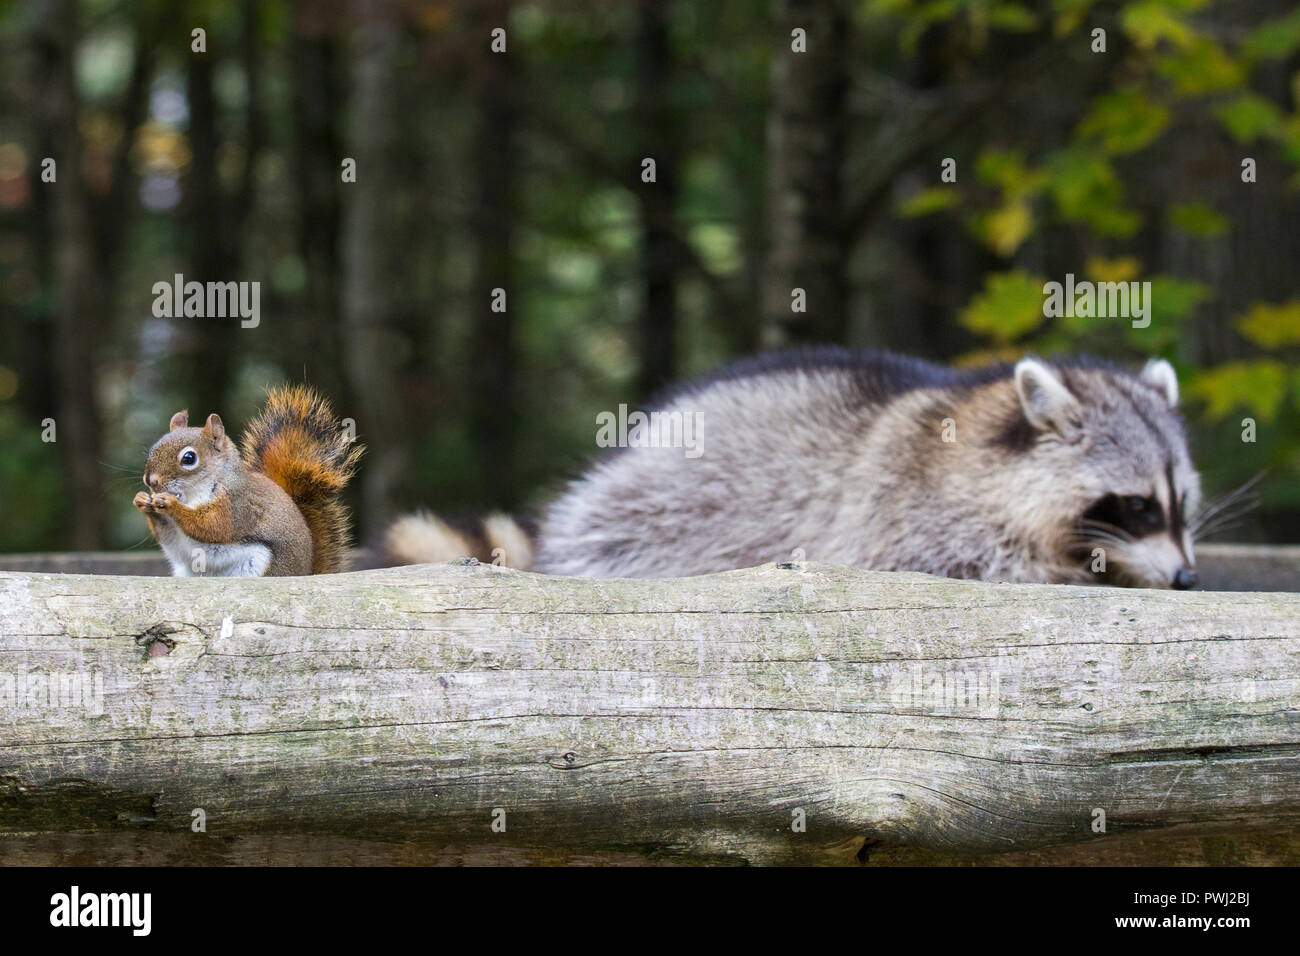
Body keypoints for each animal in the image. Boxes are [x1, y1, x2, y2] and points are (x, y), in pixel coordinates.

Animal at [134, 384, 364, 577]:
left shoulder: (236, 504)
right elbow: (167, 535)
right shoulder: (175, 536)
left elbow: (214, 526)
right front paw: (143, 501)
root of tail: (305, 574)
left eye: (189, 458)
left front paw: (171, 504)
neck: (191, 493)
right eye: (153, 449)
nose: (151, 481)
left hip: (260, 565)